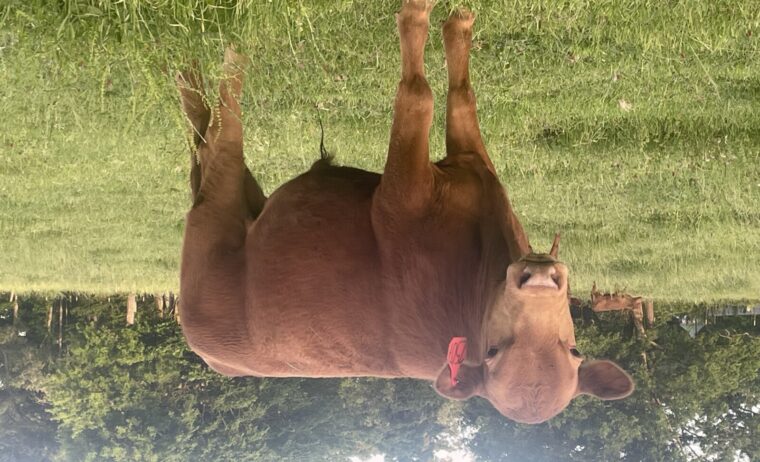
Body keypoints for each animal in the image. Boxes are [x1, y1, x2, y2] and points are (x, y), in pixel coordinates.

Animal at [177, 0, 634, 424]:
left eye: (572, 349)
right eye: (493, 351)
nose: (538, 281)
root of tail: (208, 353)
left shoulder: (416, 191)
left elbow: (430, 96)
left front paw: (429, 18)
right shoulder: (445, 176)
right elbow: (446, 96)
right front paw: (451, 22)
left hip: (218, 218)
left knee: (216, 138)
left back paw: (215, 65)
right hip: (224, 212)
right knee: (210, 139)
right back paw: (201, 73)